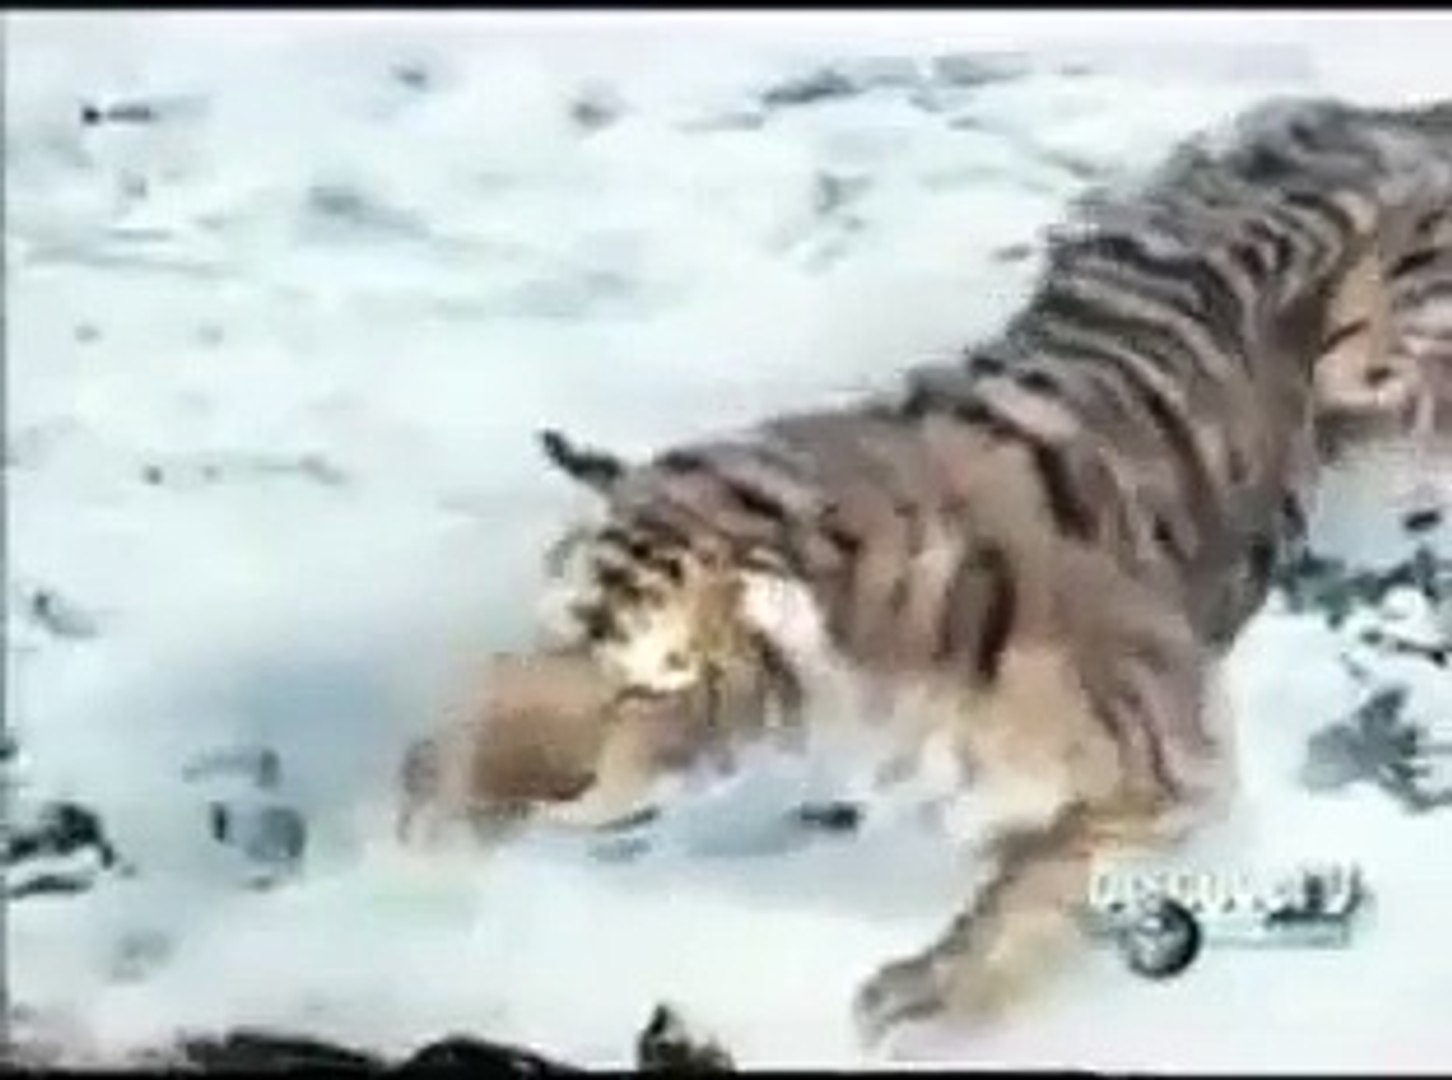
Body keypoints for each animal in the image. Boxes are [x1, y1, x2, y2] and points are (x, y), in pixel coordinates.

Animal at [527, 96, 1452, 1050]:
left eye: (656, 683)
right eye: (557, 650)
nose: (550, 791)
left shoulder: (1176, 768)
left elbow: (1036, 879)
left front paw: (931, 996)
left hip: (1375, 356)